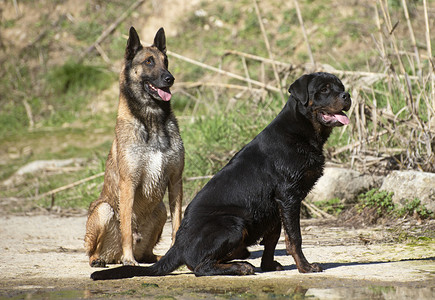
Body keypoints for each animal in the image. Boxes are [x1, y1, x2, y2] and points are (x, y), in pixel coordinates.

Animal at [84, 27, 185, 268]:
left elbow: (177, 224)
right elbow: (127, 227)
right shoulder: (128, 183)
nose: (170, 78)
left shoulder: (175, 181)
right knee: (93, 250)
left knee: (148, 252)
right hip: (103, 209)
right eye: (148, 61)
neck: (152, 119)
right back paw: (103, 260)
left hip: (161, 209)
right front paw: (129, 260)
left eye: (166, 61)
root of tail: (112, 255)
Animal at [91, 71, 350, 280]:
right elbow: (294, 238)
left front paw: (269, 266)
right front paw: (305, 267)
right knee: (199, 268)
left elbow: (273, 239)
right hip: (232, 224)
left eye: (340, 86)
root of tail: (178, 245)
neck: (302, 129)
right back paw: (240, 267)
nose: (347, 96)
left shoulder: (276, 207)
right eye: (324, 90)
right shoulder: (288, 197)